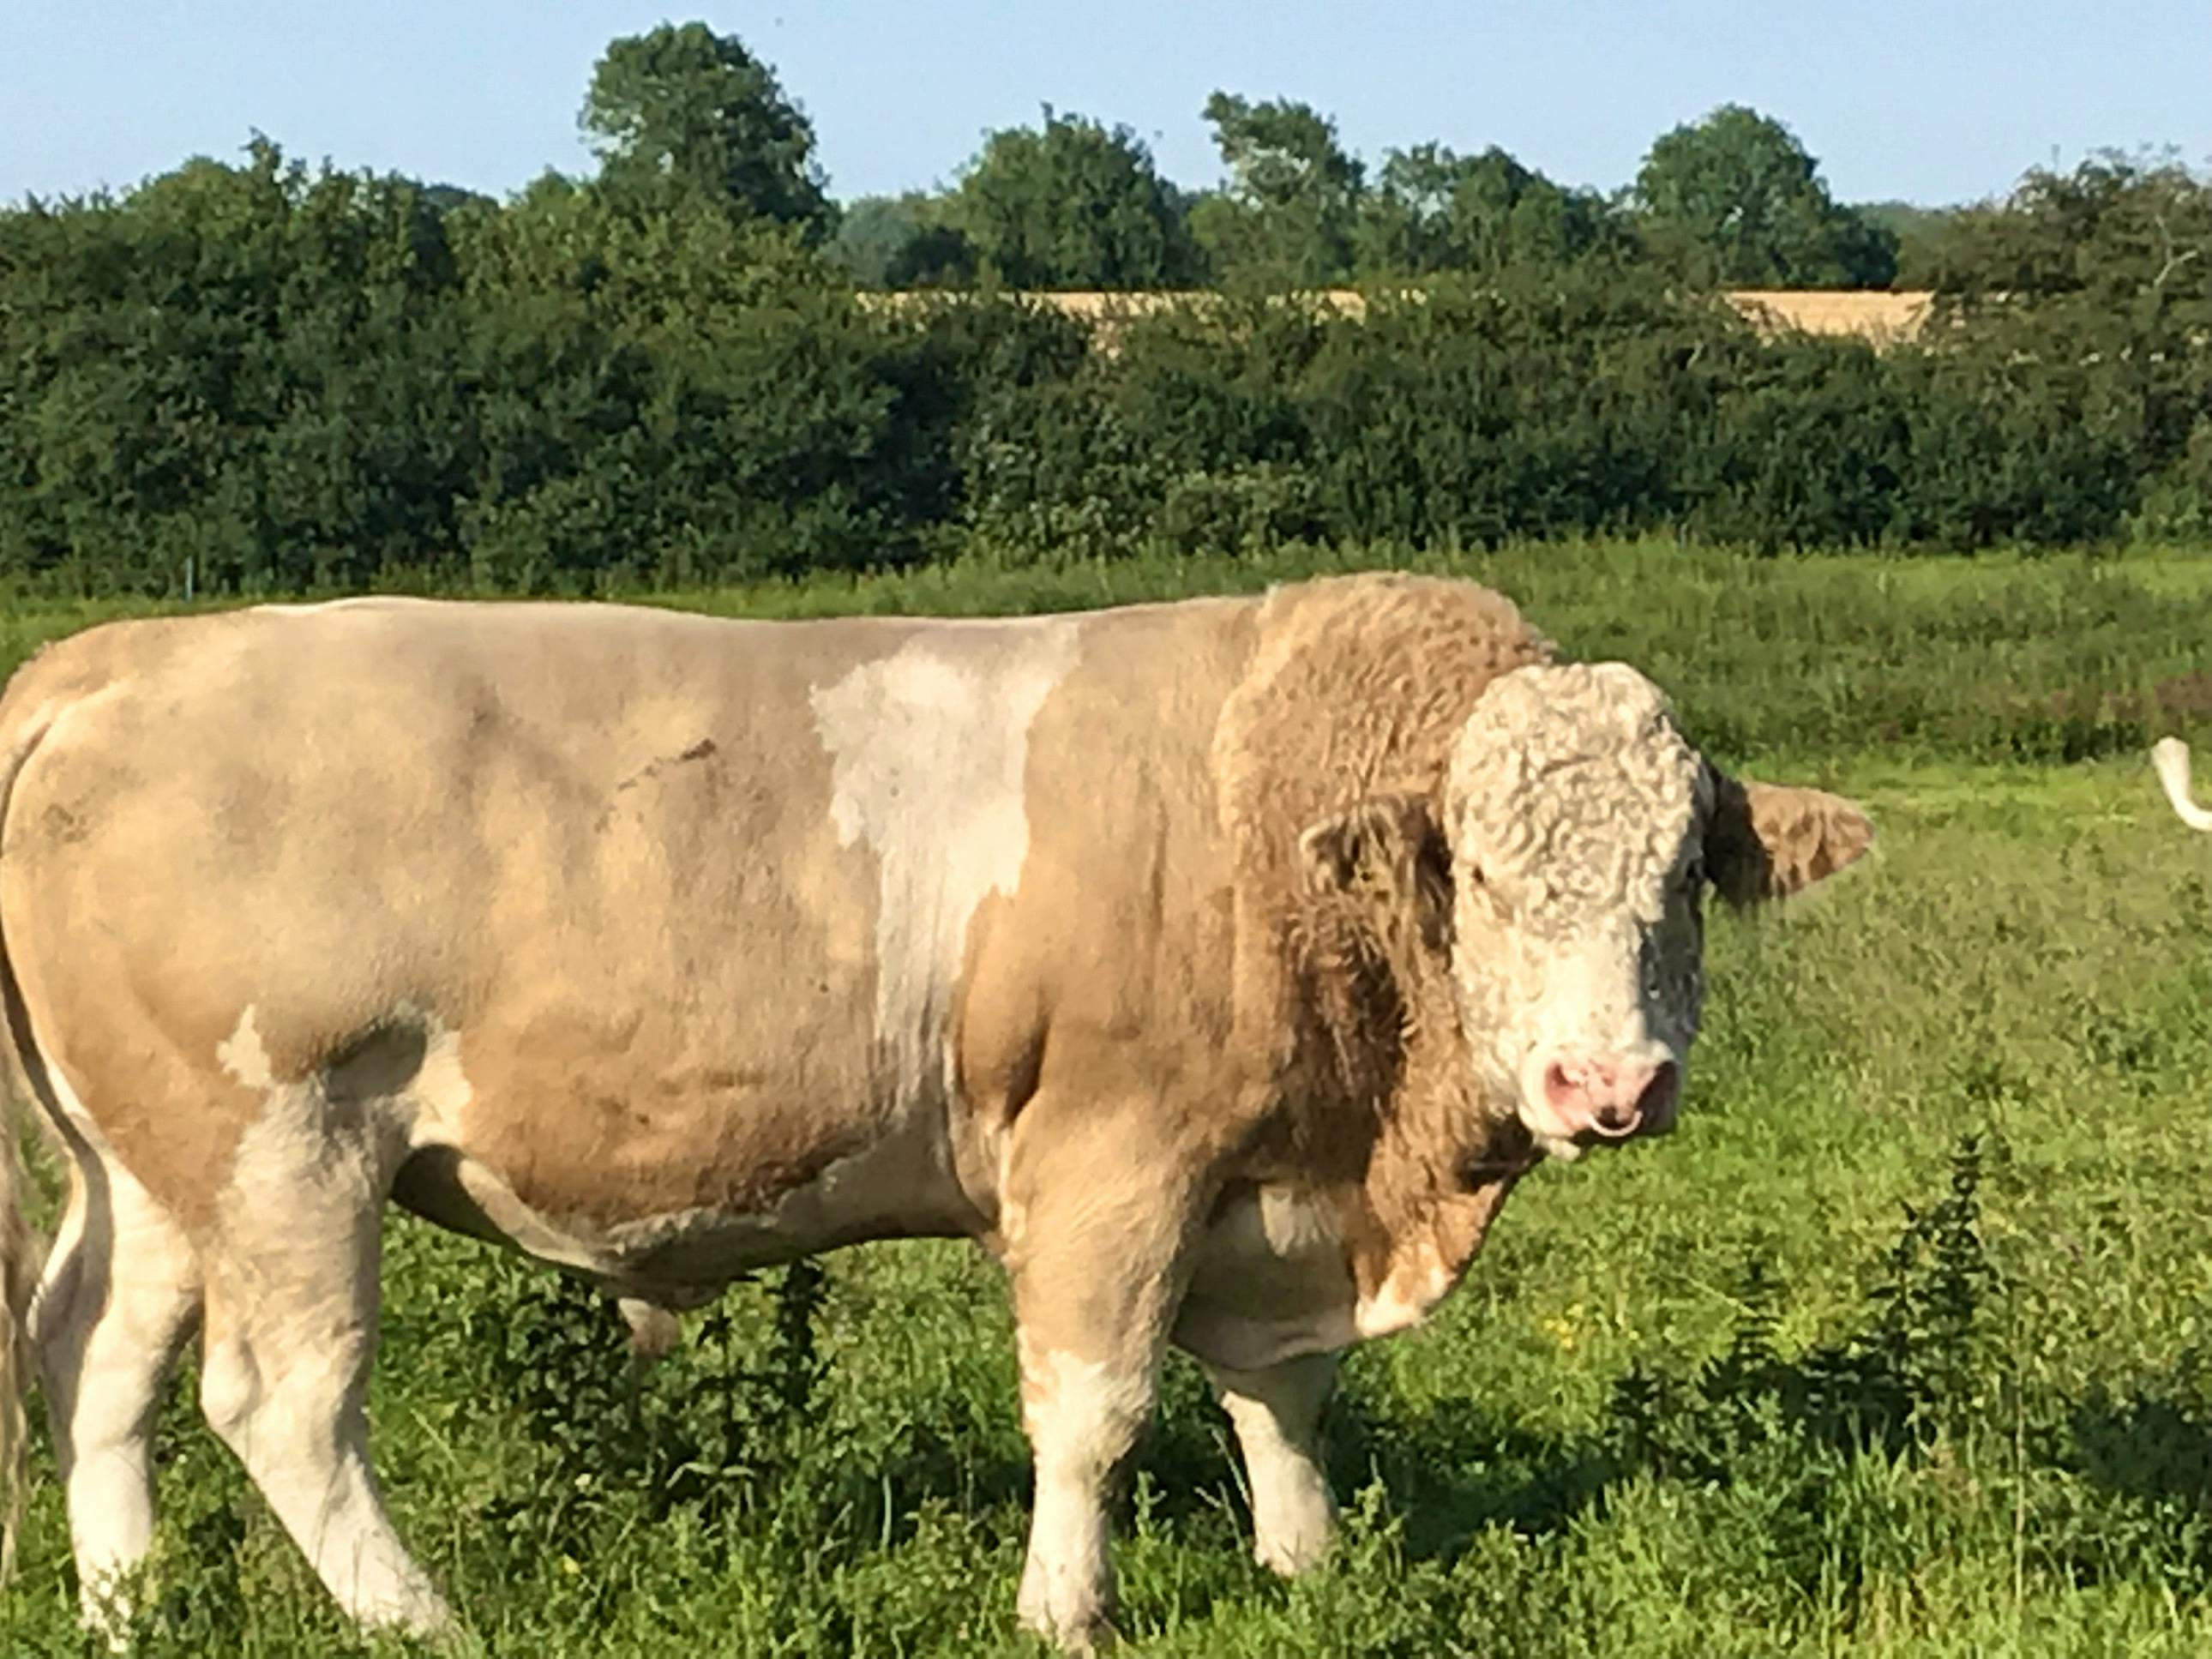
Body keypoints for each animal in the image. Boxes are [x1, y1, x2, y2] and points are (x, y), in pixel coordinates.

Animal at [0, 574, 1872, 1649]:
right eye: (1478, 870)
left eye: (1684, 876)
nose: (1609, 1084)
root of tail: (121, 660)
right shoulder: (1115, 1156)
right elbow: (1096, 1410)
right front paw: (1068, 1609)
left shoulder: (1274, 1187)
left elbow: (1280, 1399)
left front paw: (1308, 1571)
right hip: (284, 1145)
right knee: (282, 1404)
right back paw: (420, 1622)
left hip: (151, 1168)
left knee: (96, 1360)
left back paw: (124, 1609)